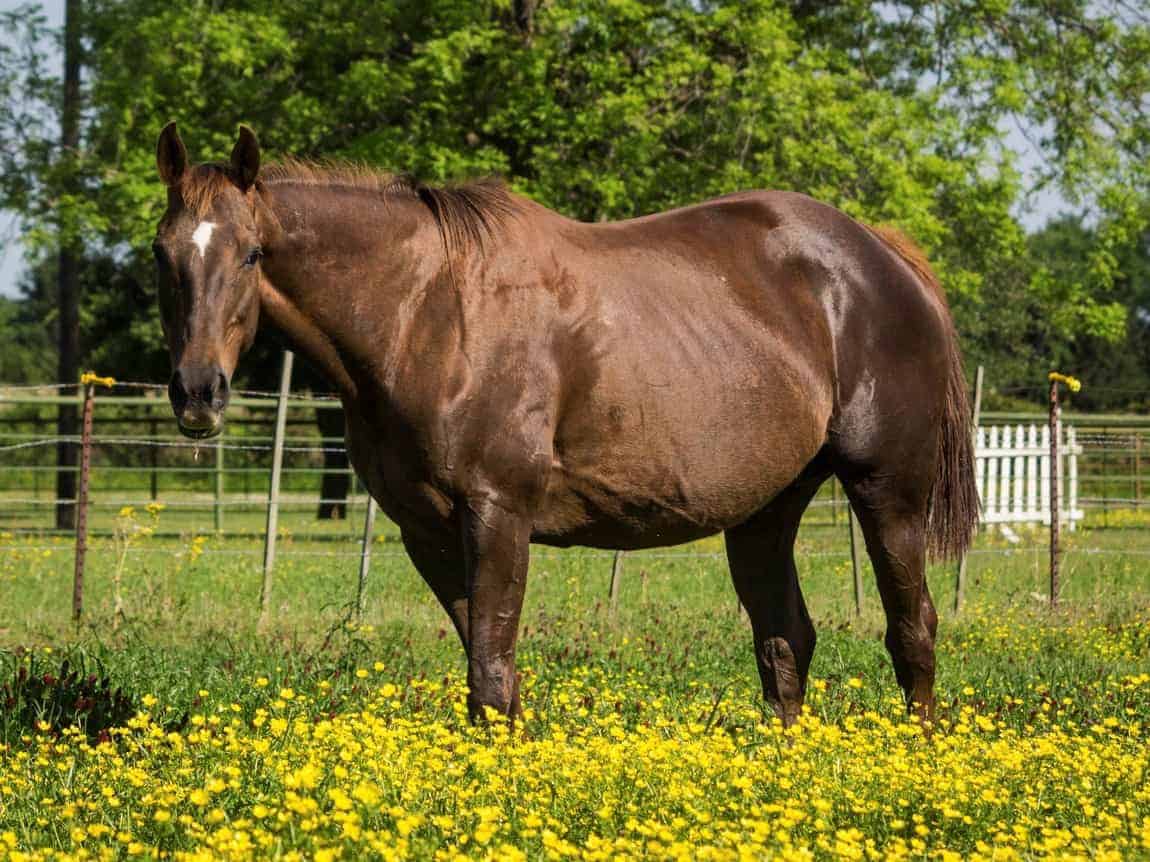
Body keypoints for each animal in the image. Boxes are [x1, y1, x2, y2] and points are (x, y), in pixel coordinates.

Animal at [153, 123, 977, 725]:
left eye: (253, 254)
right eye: (164, 256)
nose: (198, 393)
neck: (427, 315)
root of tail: (881, 255)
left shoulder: (498, 515)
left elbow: (491, 672)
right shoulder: (427, 531)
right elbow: (488, 673)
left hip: (887, 493)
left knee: (913, 631)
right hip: (764, 511)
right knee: (785, 641)